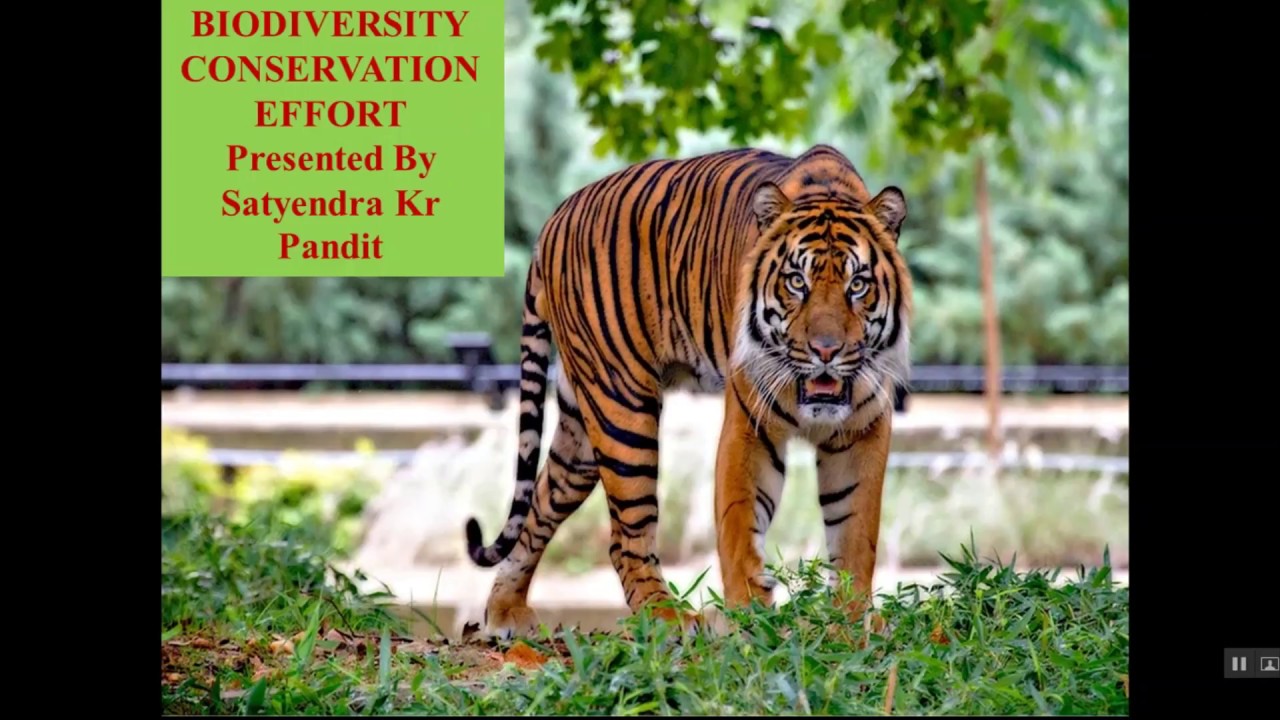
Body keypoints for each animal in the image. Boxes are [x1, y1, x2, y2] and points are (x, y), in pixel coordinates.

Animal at [463, 143, 913, 639]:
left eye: (858, 285)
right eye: (797, 282)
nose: (826, 351)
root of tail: (554, 219)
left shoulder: (863, 430)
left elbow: (855, 532)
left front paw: (849, 621)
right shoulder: (750, 425)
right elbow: (740, 524)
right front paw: (750, 619)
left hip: (580, 429)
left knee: (540, 505)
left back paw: (505, 610)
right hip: (622, 408)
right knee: (626, 537)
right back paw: (668, 617)